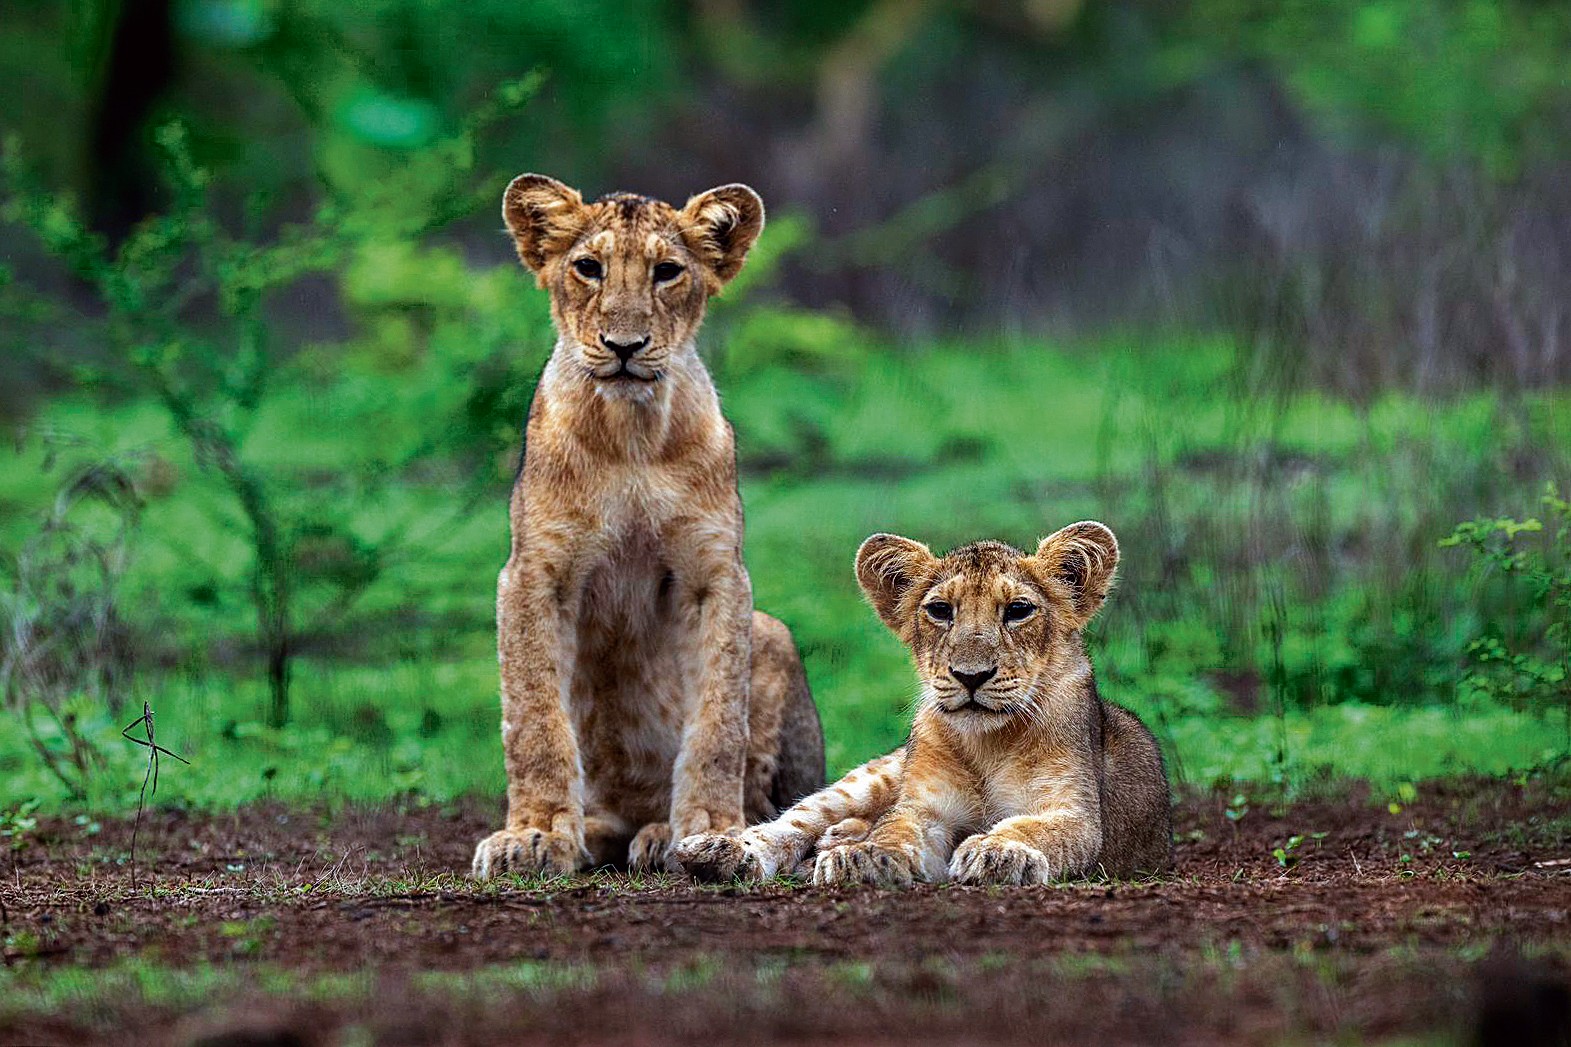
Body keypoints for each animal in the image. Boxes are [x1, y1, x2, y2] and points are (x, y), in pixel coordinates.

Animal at [470, 174, 825, 879]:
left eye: (667, 272)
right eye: (589, 268)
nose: (625, 347)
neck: (630, 434)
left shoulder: (716, 575)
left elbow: (719, 722)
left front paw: (713, 831)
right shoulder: (532, 574)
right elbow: (534, 716)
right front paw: (534, 835)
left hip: (773, 636)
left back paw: (665, 834)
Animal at [671, 521, 1171, 886]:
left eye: (1018, 610)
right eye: (940, 610)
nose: (971, 676)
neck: (987, 744)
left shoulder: (1075, 813)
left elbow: (1034, 828)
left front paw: (998, 851)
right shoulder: (924, 808)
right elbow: (897, 827)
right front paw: (866, 857)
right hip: (872, 776)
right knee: (791, 822)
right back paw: (720, 850)